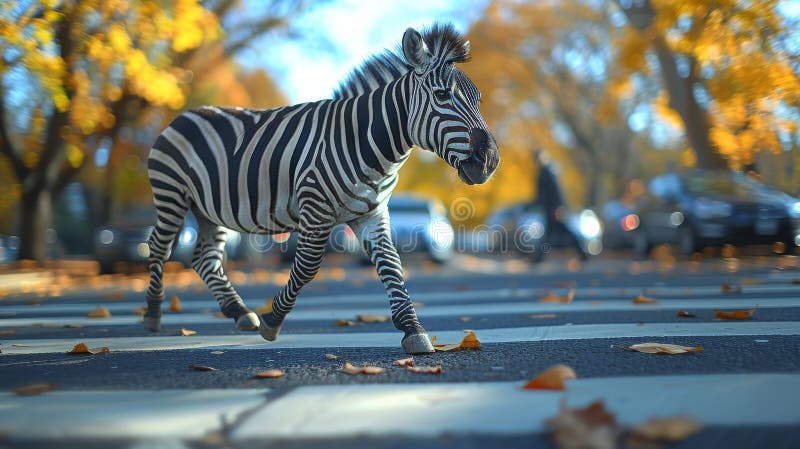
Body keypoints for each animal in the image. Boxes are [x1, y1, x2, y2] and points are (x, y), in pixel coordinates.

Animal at [143, 23, 499, 354]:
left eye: (479, 100)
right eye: (442, 95)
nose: (489, 161)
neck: (368, 145)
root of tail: (186, 114)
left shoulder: (372, 213)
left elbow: (391, 264)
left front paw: (413, 329)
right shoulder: (315, 208)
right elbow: (308, 266)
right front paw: (273, 321)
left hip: (210, 209)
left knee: (205, 257)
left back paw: (240, 312)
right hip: (172, 194)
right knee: (159, 246)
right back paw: (153, 316)